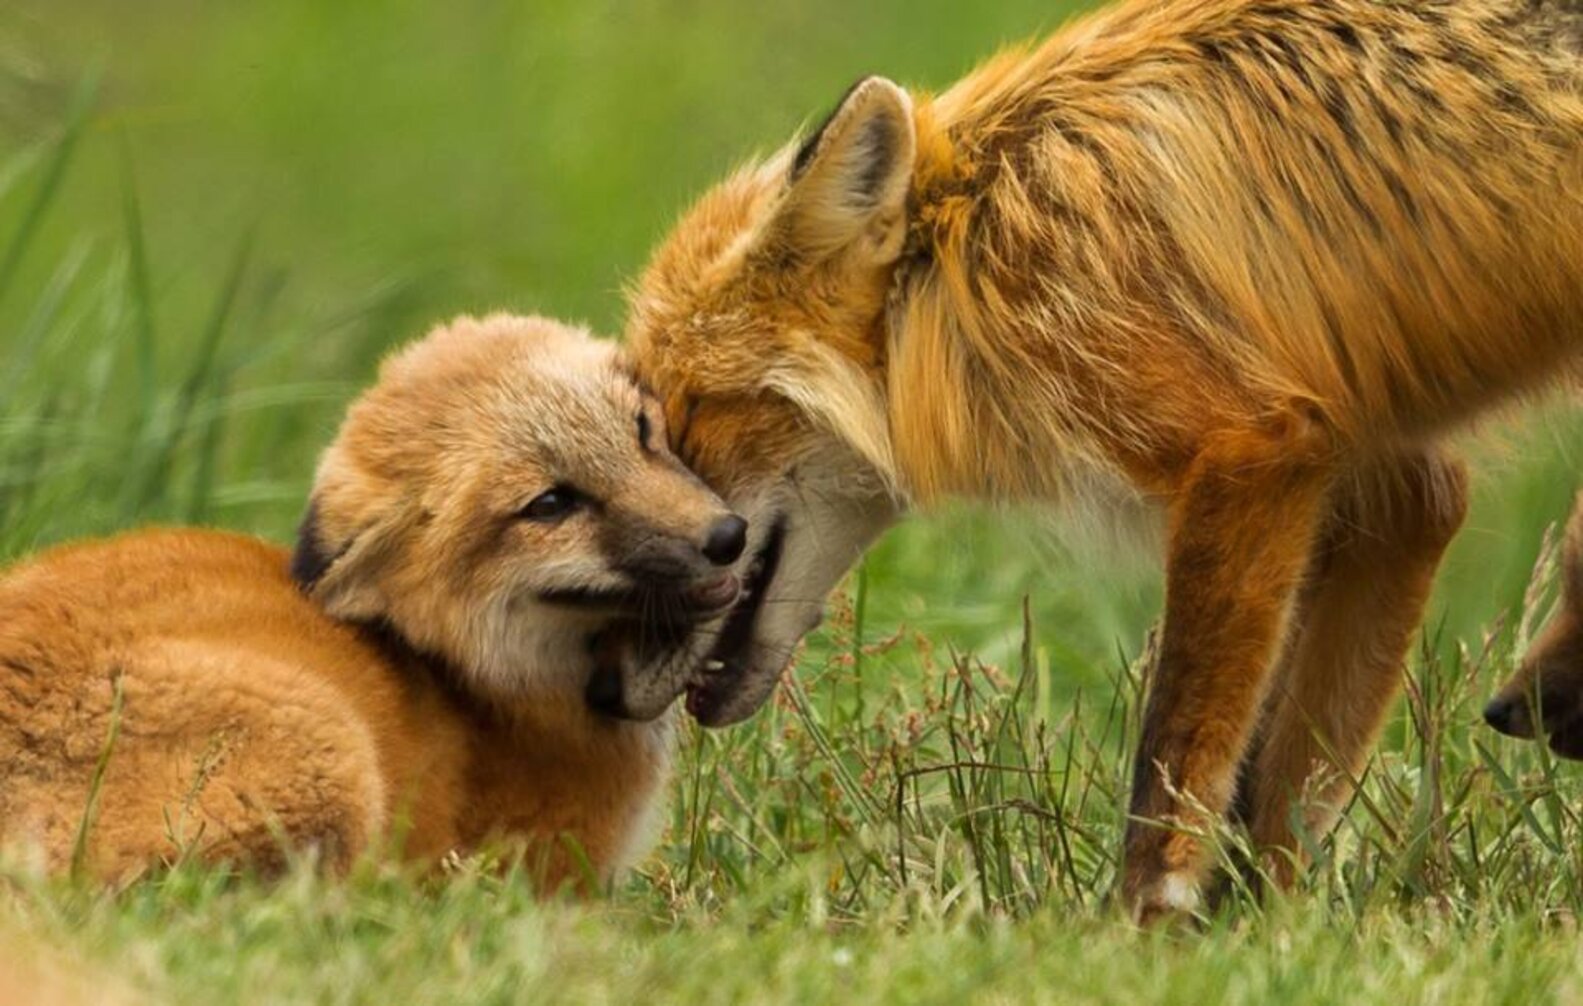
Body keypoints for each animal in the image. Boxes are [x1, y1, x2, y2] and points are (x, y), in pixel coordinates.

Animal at [0, 314, 747, 889]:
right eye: (551, 503)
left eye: (643, 431)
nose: (728, 537)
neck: (481, 695)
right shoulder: (558, 877)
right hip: (331, 759)